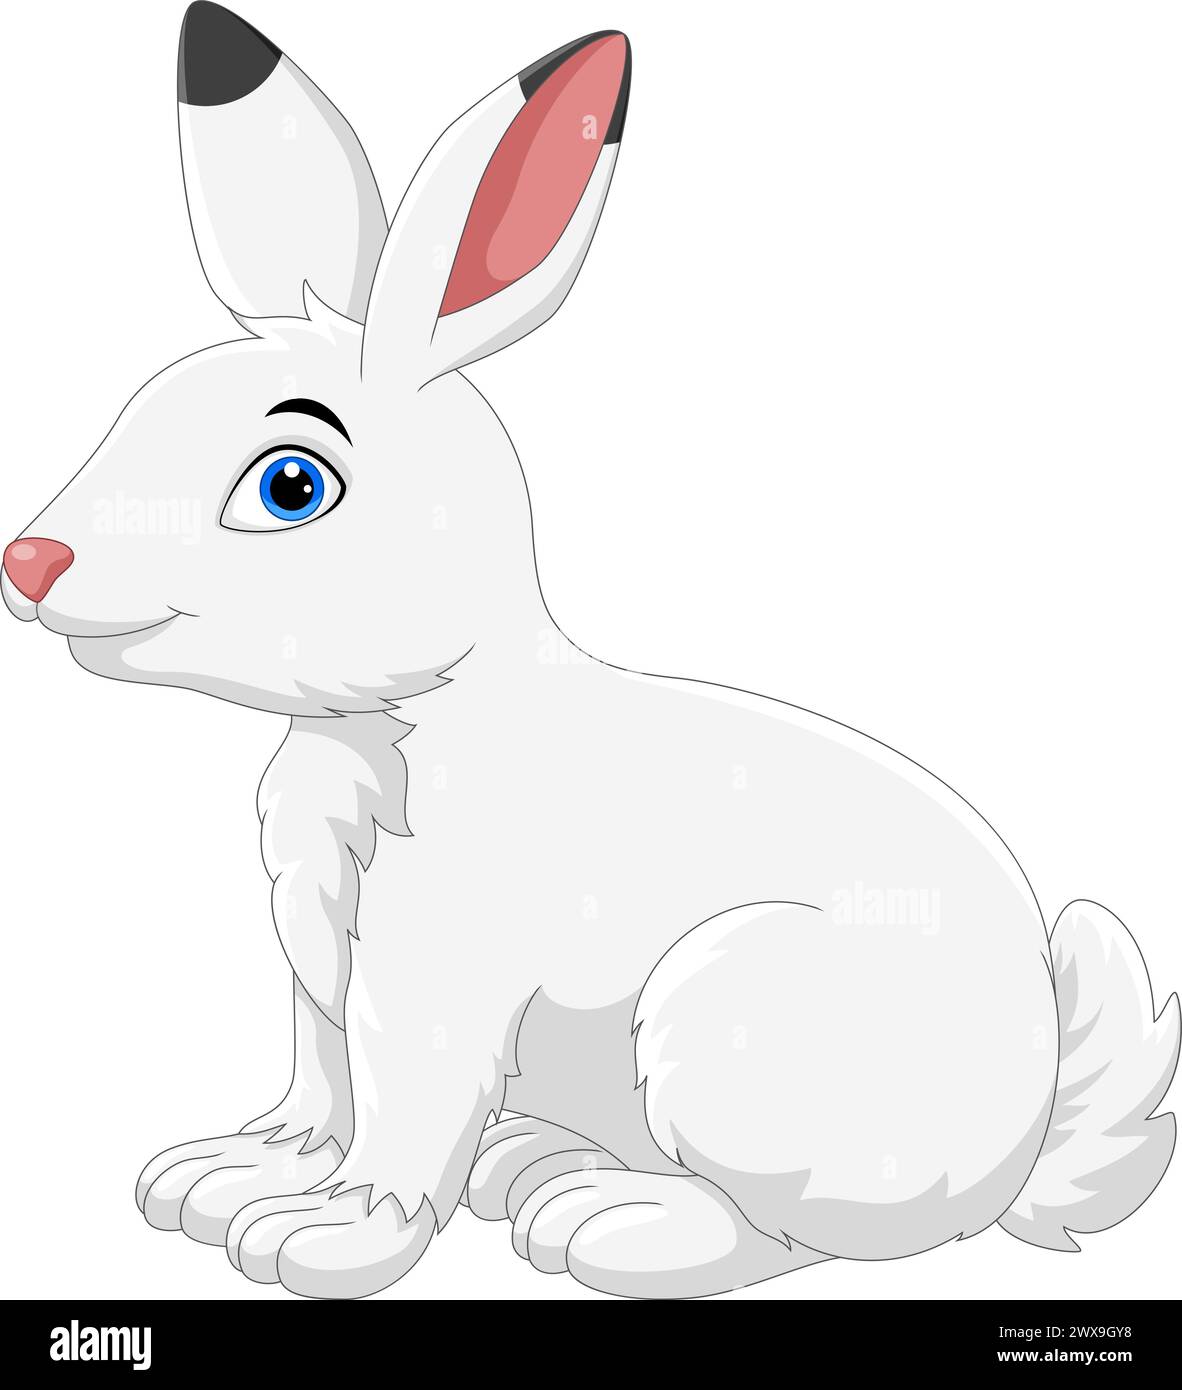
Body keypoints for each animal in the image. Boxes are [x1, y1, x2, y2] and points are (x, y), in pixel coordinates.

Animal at [3, 2, 1178, 1301]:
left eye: (291, 485)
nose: (30, 561)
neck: (408, 715)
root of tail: (1015, 1161)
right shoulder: (317, 957)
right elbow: (322, 1085)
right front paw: (225, 1176)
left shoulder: (430, 971)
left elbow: (400, 1114)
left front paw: (325, 1236)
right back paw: (534, 1162)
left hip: (726, 1019)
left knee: (793, 1238)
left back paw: (604, 1219)